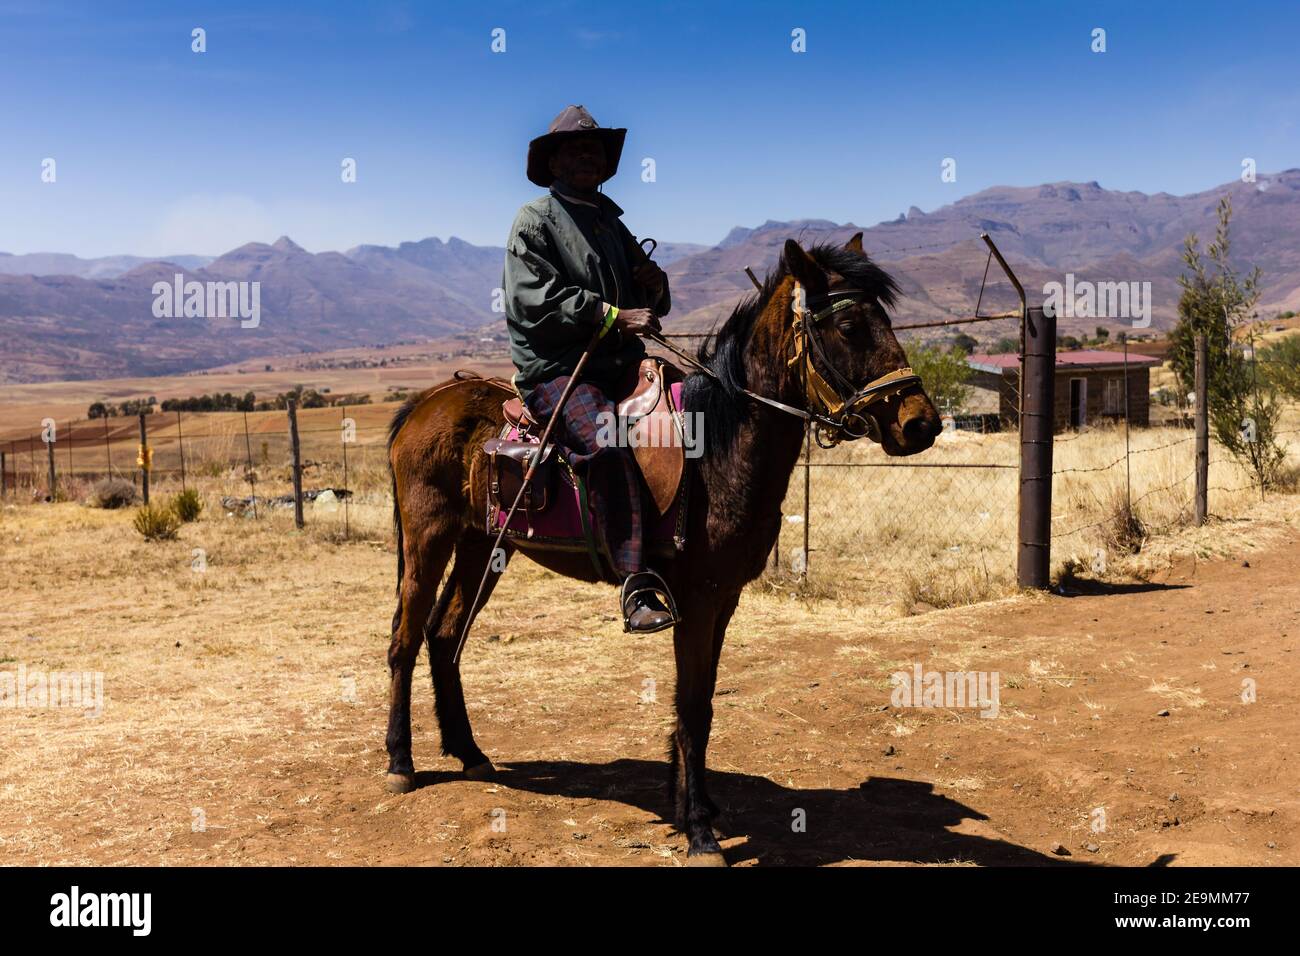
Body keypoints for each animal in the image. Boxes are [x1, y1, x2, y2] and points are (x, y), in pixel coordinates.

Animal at [382, 233, 941, 865]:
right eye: (848, 326)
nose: (921, 423)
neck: (719, 445)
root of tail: (425, 403)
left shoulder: (723, 599)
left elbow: (699, 700)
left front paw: (694, 807)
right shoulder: (695, 599)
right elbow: (693, 706)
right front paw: (699, 831)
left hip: (482, 547)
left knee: (444, 634)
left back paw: (470, 753)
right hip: (428, 540)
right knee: (405, 639)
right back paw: (401, 762)